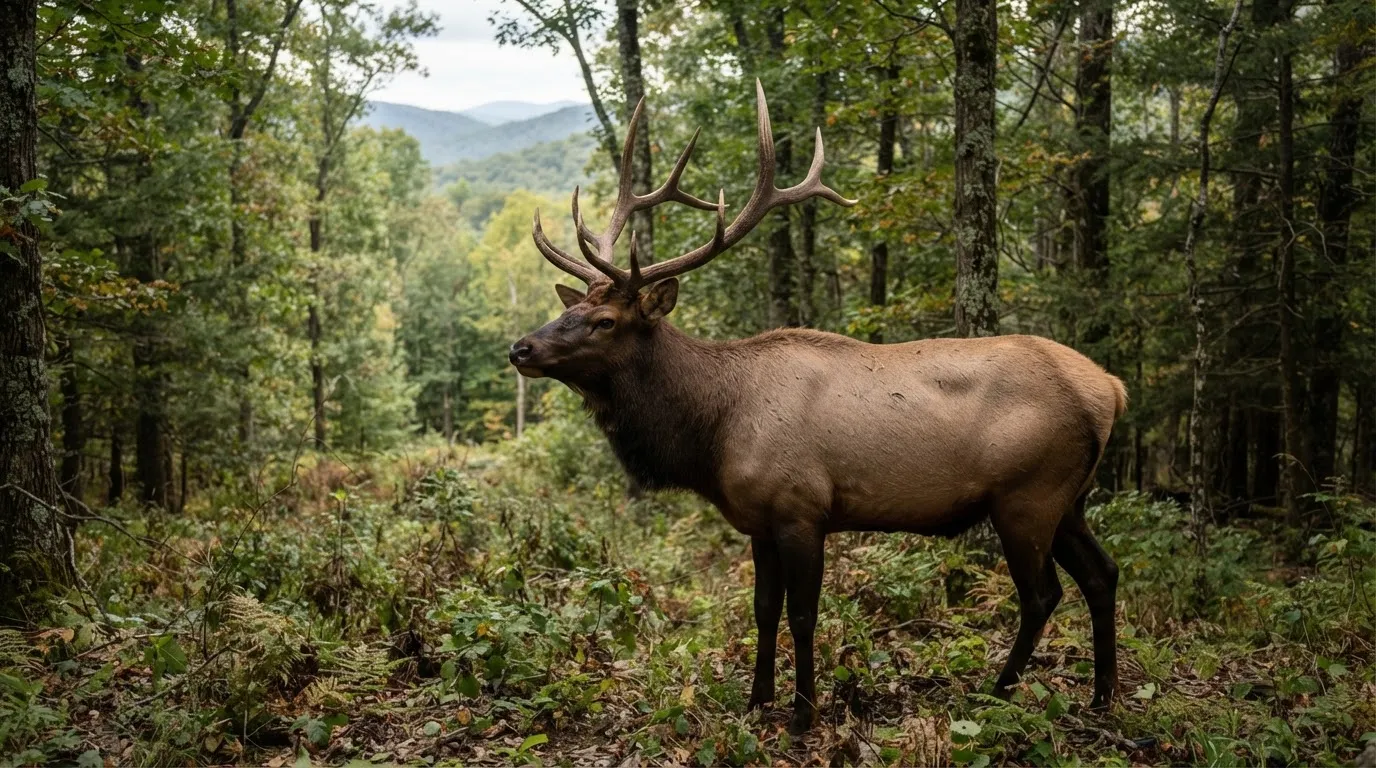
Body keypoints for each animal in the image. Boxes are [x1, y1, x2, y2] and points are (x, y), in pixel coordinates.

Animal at [508, 82, 1127, 735]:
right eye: (570, 309)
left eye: (604, 320)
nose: (520, 348)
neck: (713, 432)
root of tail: (1111, 390)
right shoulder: (758, 520)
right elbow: (762, 609)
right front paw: (757, 700)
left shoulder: (801, 507)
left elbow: (802, 614)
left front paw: (804, 713)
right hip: (1070, 499)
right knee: (1102, 573)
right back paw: (1102, 694)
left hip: (1027, 494)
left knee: (1043, 594)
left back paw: (999, 692)